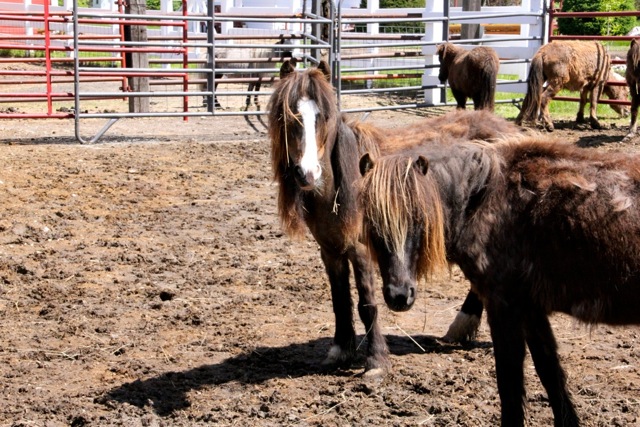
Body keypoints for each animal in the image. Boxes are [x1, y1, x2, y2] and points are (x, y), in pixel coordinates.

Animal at [266, 60, 523, 376]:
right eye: (288, 117)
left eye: (324, 117)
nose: (307, 173)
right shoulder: (331, 251)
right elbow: (340, 300)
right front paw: (340, 351)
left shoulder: (362, 250)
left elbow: (367, 304)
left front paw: (376, 362)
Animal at [357, 136, 640, 426]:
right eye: (372, 221)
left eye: (419, 218)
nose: (399, 295)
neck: (482, 197)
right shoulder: (531, 310)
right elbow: (550, 373)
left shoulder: (505, 307)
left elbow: (510, 383)